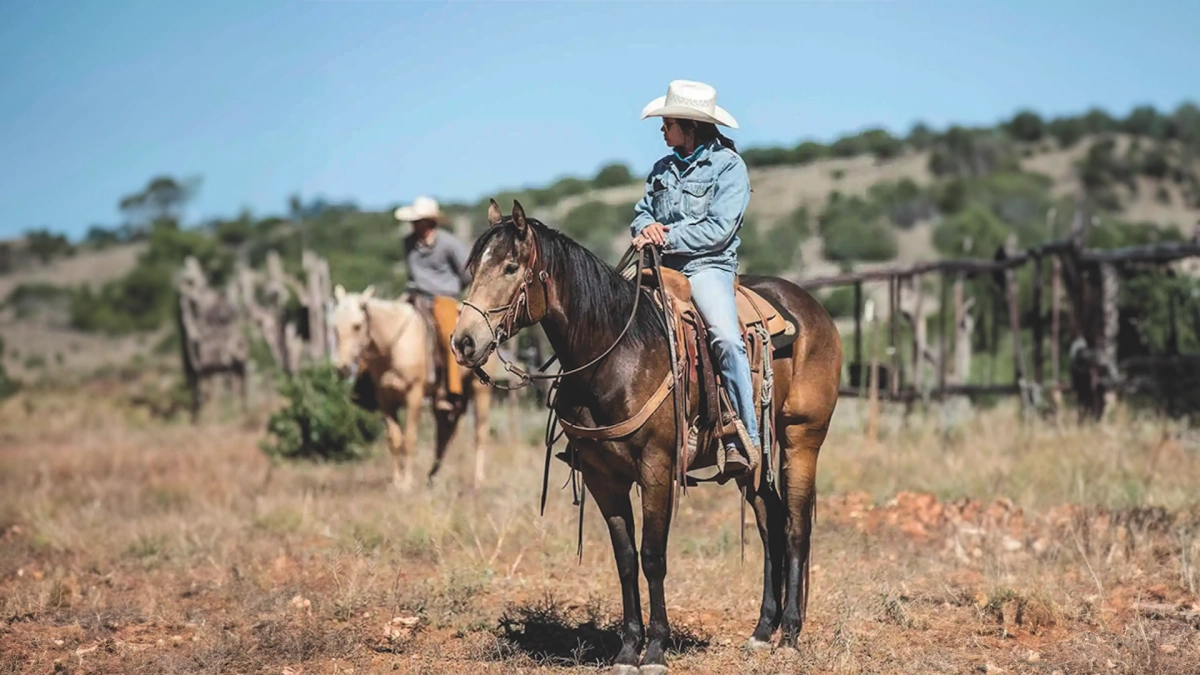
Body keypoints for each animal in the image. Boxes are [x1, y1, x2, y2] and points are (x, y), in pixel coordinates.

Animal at [331, 284, 494, 491]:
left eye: (357, 325)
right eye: (334, 327)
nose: (342, 368)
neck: (394, 346)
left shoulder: (414, 395)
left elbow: (409, 439)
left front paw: (407, 483)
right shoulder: (385, 400)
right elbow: (394, 440)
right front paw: (396, 481)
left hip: (481, 391)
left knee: (480, 433)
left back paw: (478, 479)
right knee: (444, 435)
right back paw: (433, 477)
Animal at [451, 200, 842, 674]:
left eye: (510, 267)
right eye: (474, 268)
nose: (463, 343)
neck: (618, 354)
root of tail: (813, 309)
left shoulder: (656, 468)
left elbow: (653, 556)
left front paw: (655, 649)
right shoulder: (602, 476)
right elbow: (625, 559)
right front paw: (627, 649)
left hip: (802, 436)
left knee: (797, 525)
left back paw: (790, 635)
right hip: (752, 462)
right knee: (771, 521)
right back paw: (763, 631)